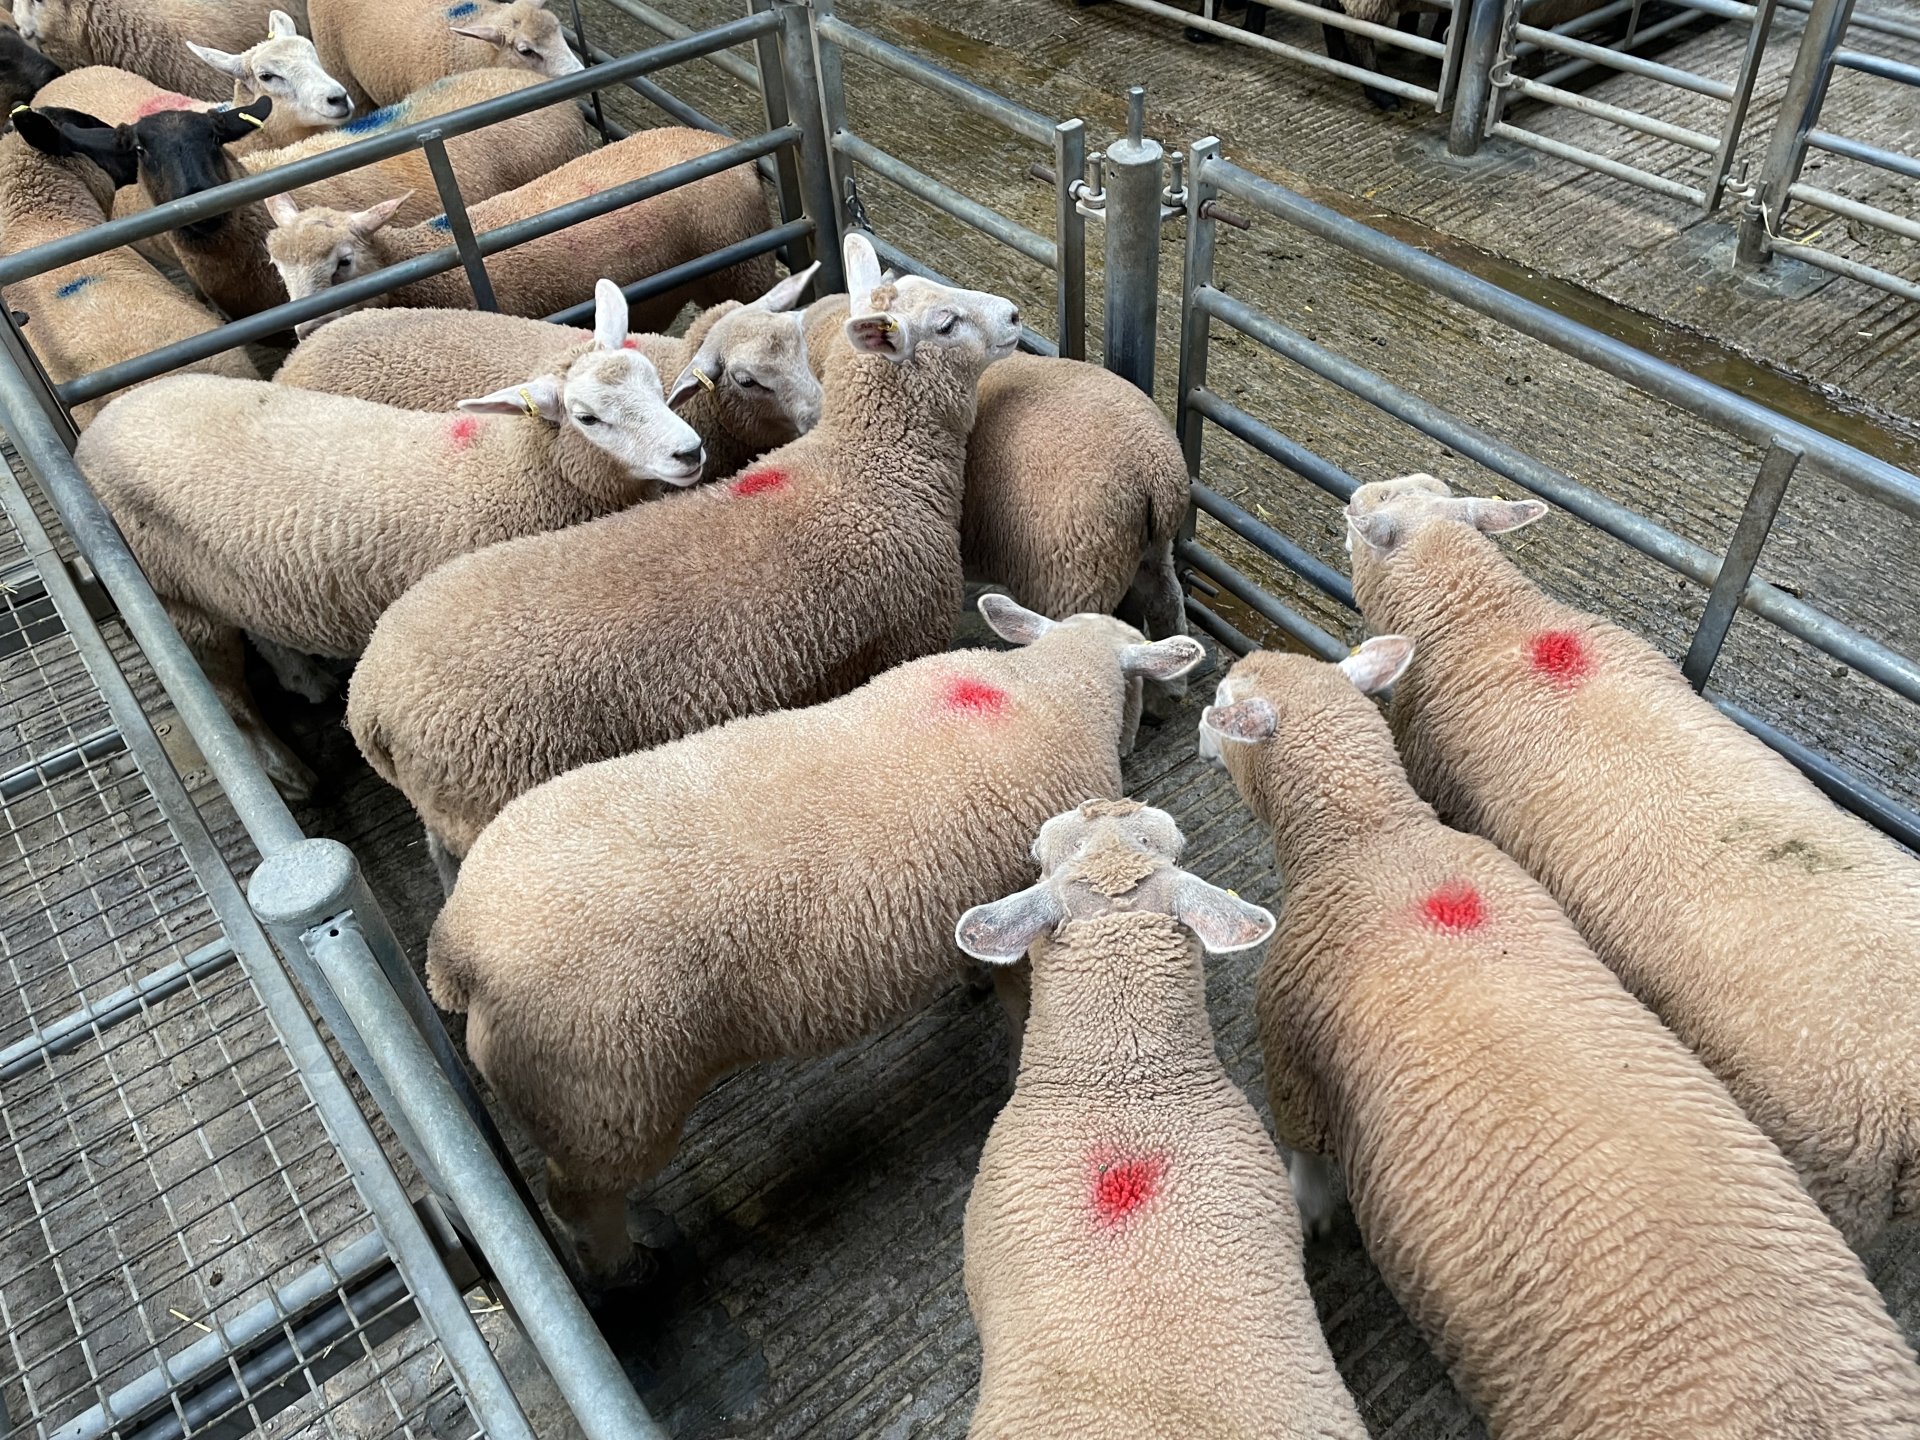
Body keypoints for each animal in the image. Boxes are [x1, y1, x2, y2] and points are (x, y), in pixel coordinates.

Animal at [71, 279, 702, 797]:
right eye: (588, 418)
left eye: (656, 384)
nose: (689, 452)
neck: (507, 469)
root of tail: (101, 426)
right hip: (175, 603)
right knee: (229, 701)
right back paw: (288, 774)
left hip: (224, 580)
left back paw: (303, 678)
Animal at [425, 599, 1203, 1277]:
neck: (1047, 687)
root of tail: (460, 945)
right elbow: (1023, 1012)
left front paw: (969, 978)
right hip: (608, 1099)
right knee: (580, 1203)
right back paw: (628, 1260)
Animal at [1197, 637, 1920, 1436]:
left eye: (1223, 699)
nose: (1199, 728)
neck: (1373, 836)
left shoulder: (1289, 1041)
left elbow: (1301, 1144)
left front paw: (1312, 1212)